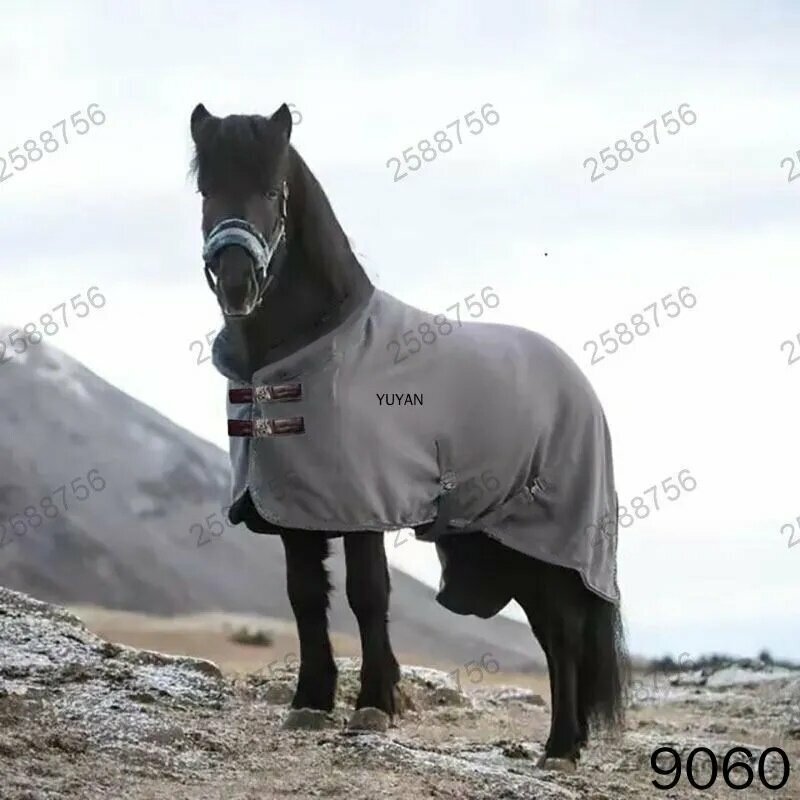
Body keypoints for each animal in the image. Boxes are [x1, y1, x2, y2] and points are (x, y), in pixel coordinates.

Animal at [189, 101, 628, 769]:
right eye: (206, 189)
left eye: (271, 191)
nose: (237, 281)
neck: (311, 349)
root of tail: (580, 385)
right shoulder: (295, 510)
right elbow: (304, 596)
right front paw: (311, 702)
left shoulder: (364, 505)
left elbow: (368, 594)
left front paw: (374, 703)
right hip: (513, 546)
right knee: (557, 637)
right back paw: (569, 741)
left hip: (550, 540)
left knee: (564, 632)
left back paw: (559, 747)